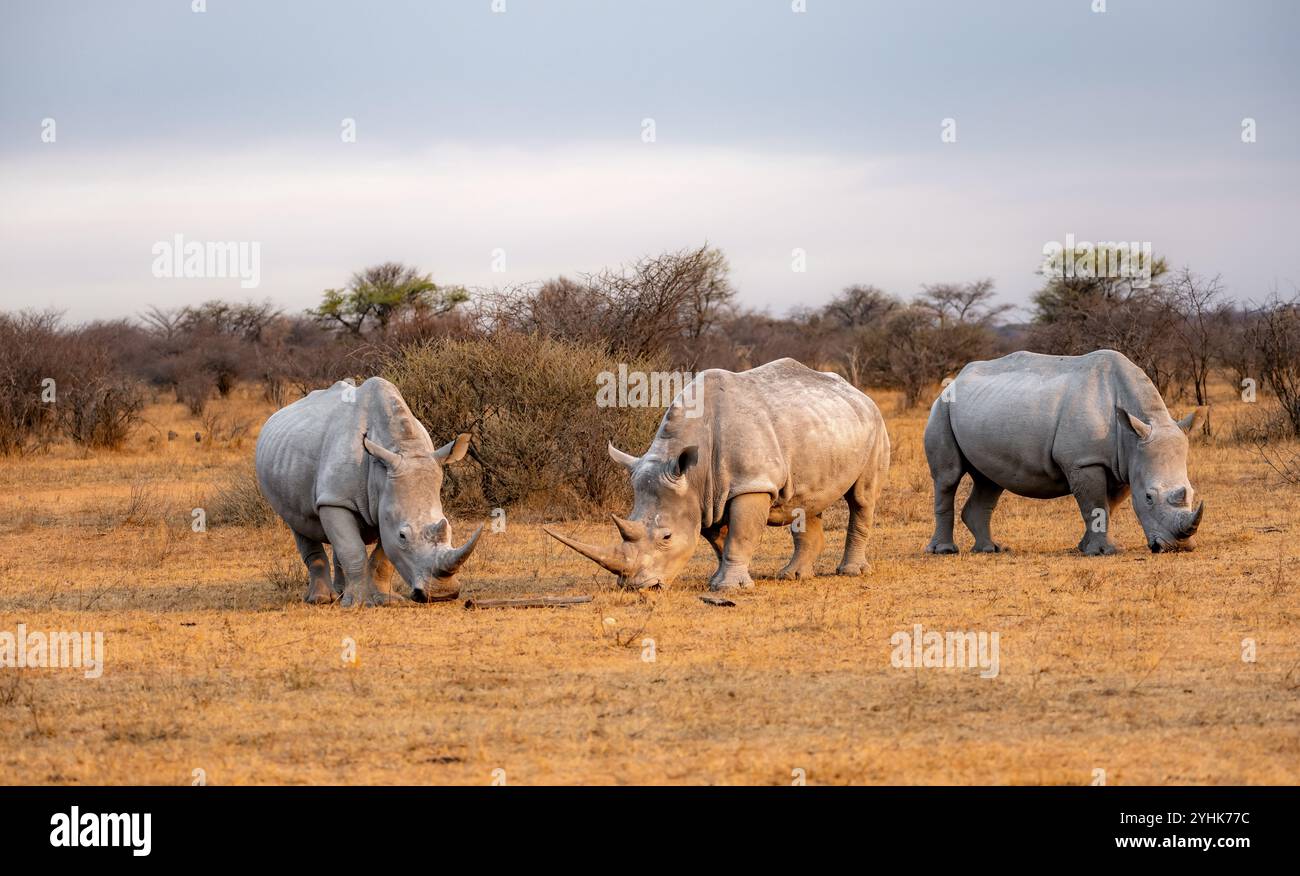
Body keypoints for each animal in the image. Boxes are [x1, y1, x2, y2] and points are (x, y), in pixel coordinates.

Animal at [255, 377, 482, 606]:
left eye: (450, 530)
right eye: (403, 536)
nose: (442, 594)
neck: (403, 447)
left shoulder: (387, 505)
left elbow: (382, 558)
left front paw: (386, 600)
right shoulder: (335, 499)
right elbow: (353, 550)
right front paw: (357, 603)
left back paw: (340, 593)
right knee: (299, 524)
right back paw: (322, 599)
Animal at [545, 358, 890, 590]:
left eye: (666, 537)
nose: (637, 588)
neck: (693, 472)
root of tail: (858, 392)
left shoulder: (750, 484)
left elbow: (740, 534)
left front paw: (727, 588)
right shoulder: (704, 495)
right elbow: (720, 538)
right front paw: (722, 578)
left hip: (875, 423)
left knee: (861, 499)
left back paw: (851, 572)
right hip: (823, 430)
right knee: (805, 504)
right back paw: (792, 576)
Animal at [924, 349, 1203, 556]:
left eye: (1191, 493)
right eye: (1148, 497)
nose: (1176, 548)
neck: (1134, 435)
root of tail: (956, 380)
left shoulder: (1125, 463)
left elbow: (1107, 506)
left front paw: (1085, 547)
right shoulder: (1084, 461)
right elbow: (1095, 504)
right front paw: (1102, 551)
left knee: (989, 481)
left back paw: (990, 549)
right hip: (942, 407)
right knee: (948, 477)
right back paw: (944, 551)